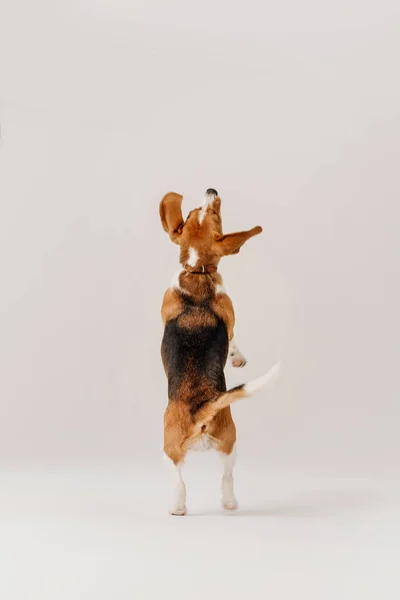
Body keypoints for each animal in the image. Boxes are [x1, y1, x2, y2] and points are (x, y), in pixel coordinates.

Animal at [160, 189, 282, 516]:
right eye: (202, 211)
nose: (211, 190)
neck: (197, 272)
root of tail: (201, 411)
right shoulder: (231, 319)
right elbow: (234, 338)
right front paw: (238, 359)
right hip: (231, 442)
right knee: (226, 477)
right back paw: (229, 503)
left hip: (171, 450)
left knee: (180, 482)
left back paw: (178, 508)